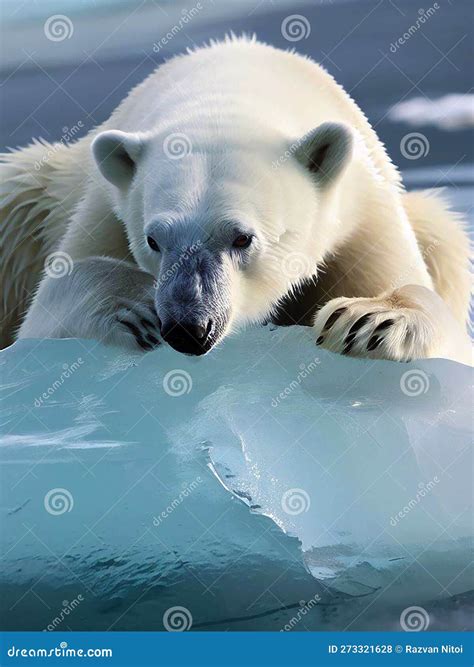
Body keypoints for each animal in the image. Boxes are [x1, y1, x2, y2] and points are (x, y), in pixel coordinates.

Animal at [1, 36, 471, 364]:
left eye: (242, 238)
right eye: (153, 241)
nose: (188, 328)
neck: (230, 85)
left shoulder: (363, 218)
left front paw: (370, 319)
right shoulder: (102, 210)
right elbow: (44, 314)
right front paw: (132, 307)